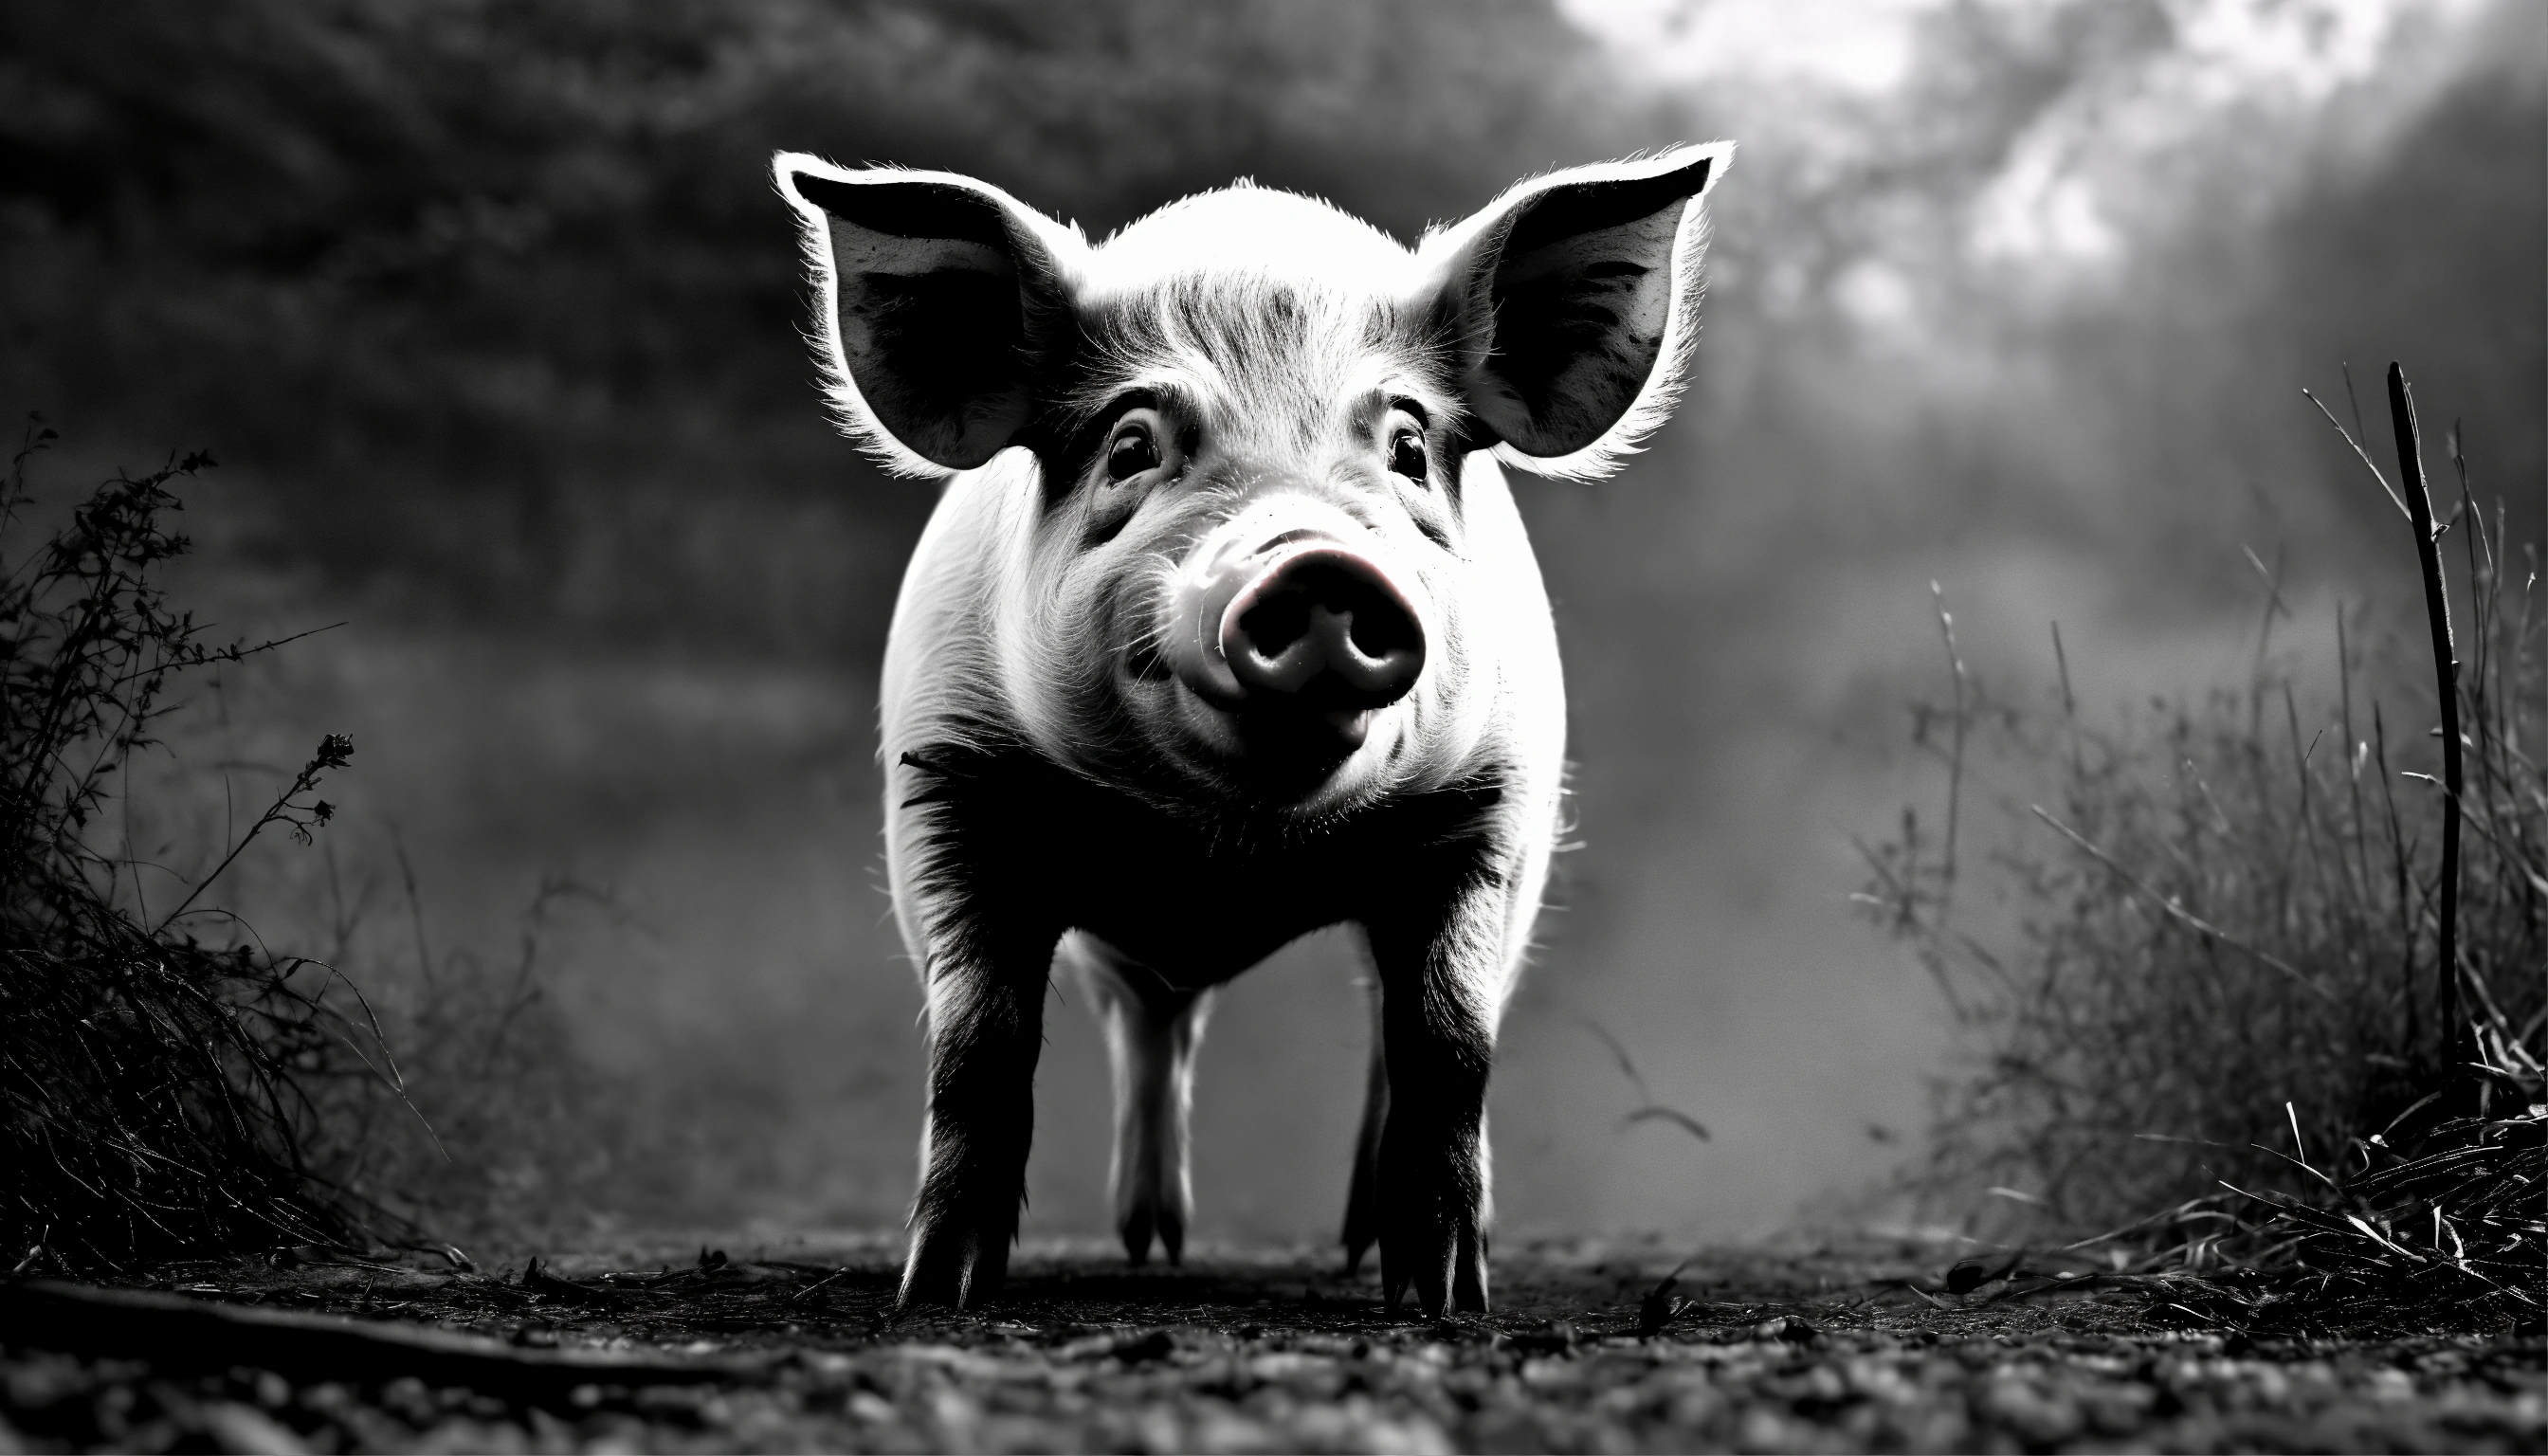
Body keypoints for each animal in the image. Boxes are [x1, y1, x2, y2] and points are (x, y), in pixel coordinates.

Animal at [772, 144, 1731, 1315]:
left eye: (1408, 446)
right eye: (1132, 446)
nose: (1317, 563)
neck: (1227, 853)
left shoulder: (1491, 812)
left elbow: (1448, 1043)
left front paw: (1445, 1297)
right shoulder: (949, 782)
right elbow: (978, 1046)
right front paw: (938, 1292)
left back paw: (1347, 1247)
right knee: (1151, 1027)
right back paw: (1150, 1246)